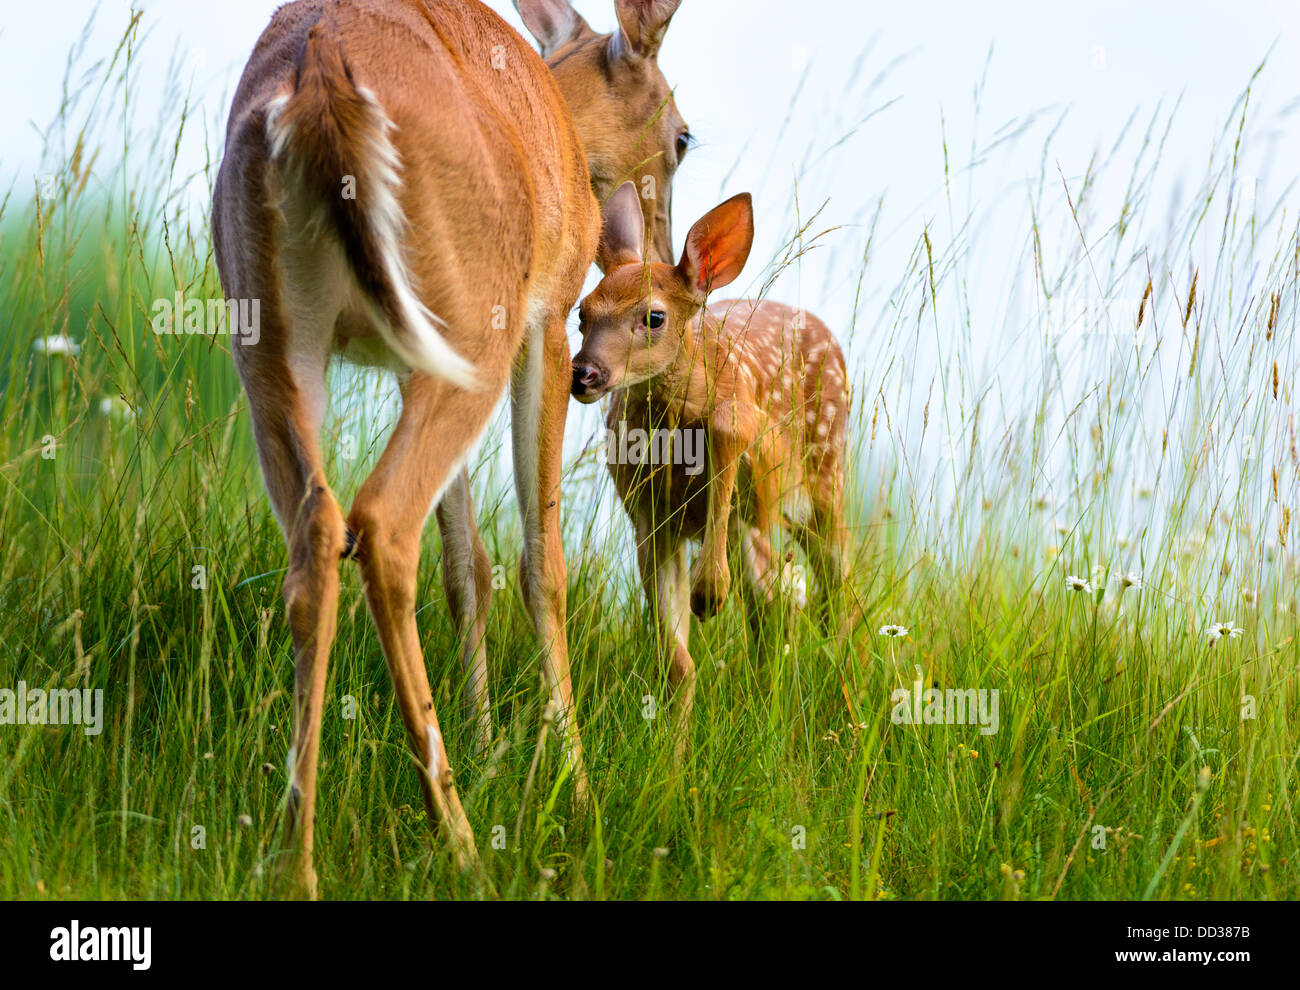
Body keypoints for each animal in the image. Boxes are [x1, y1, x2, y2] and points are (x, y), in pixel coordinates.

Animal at [211, 0, 685, 898]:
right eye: (684, 136)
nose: (657, 260)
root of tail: (318, 84)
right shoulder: (545, 323)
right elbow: (540, 561)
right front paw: (570, 783)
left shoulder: (413, 361)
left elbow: (468, 567)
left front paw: (491, 745)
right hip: (474, 328)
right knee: (383, 525)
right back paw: (460, 841)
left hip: (275, 345)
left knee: (317, 536)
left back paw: (299, 862)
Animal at [571, 183, 851, 743]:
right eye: (583, 313)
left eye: (653, 317)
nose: (585, 373)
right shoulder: (649, 520)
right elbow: (677, 663)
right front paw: (672, 755)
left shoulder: (740, 437)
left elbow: (727, 438)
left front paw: (709, 595)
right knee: (774, 604)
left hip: (825, 473)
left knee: (833, 582)